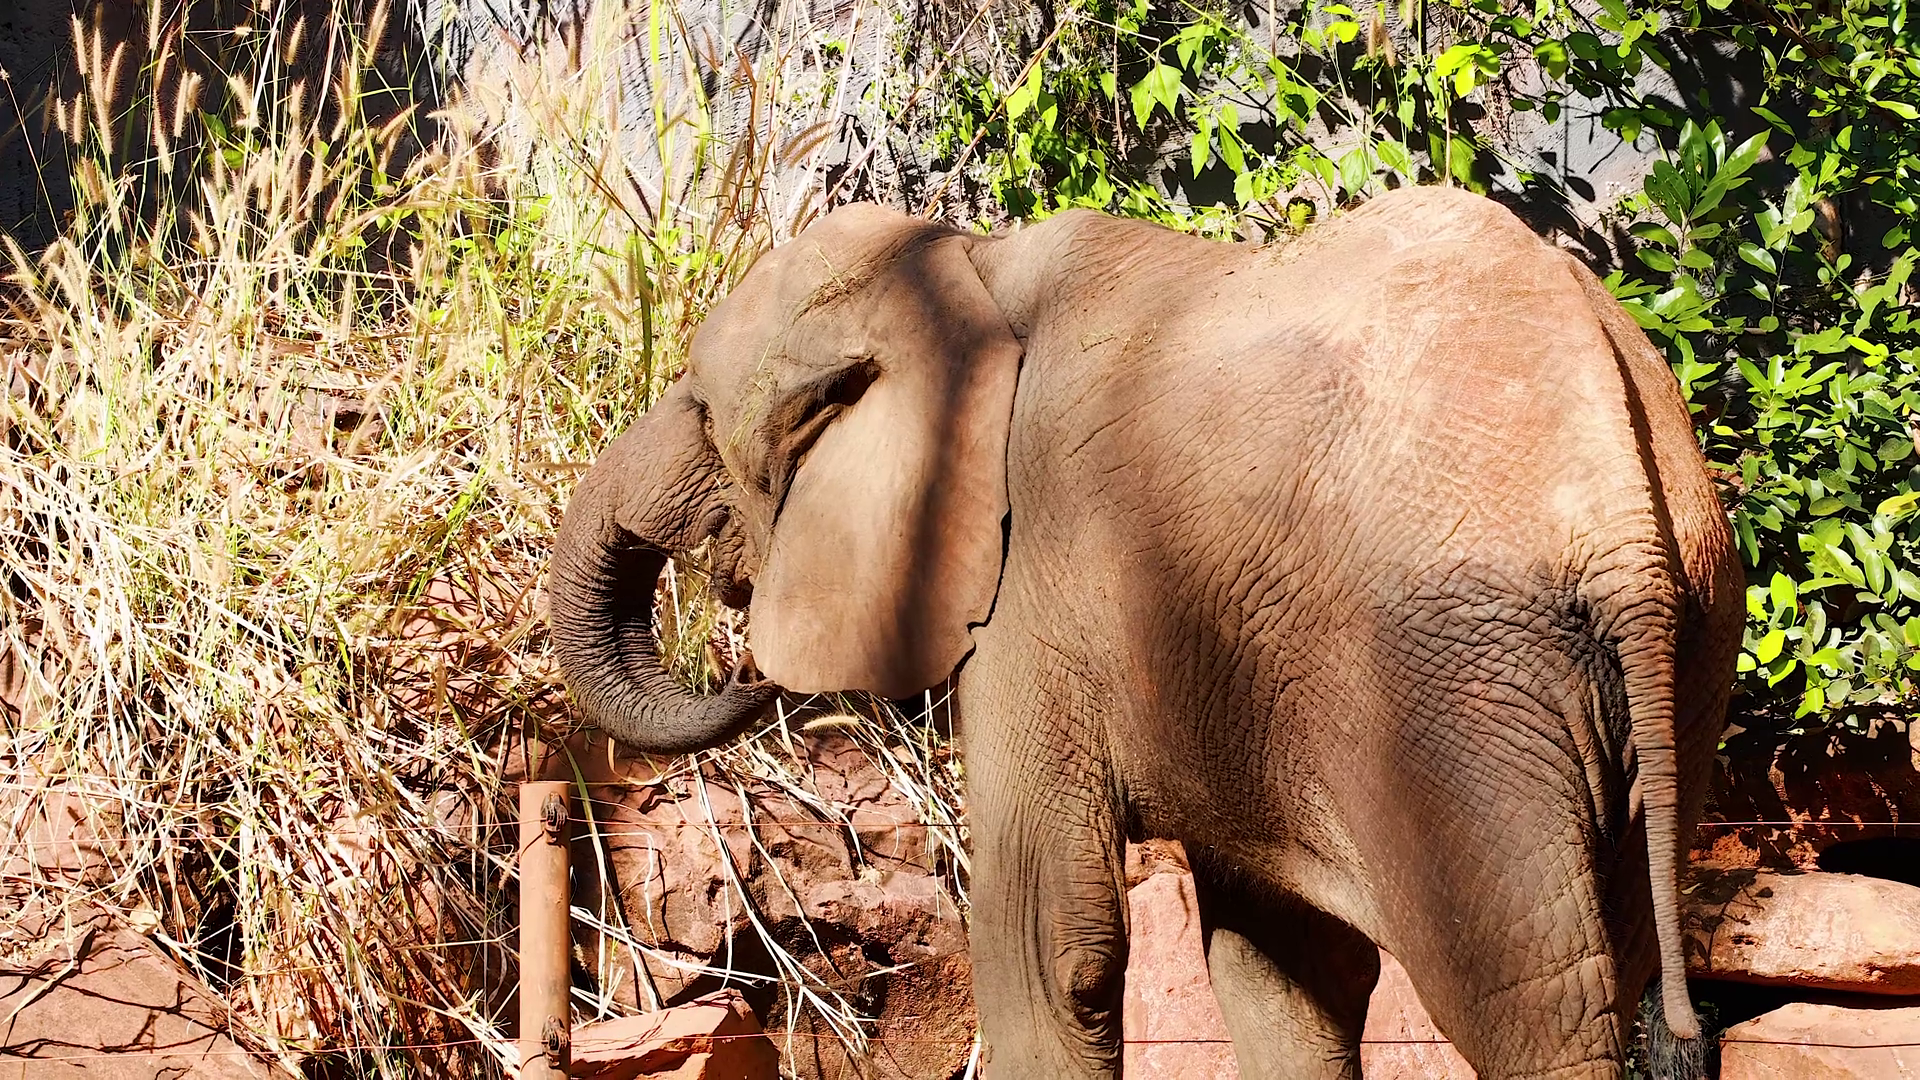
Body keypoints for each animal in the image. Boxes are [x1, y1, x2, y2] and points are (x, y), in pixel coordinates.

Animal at [547, 185, 1742, 1079]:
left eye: (702, 413)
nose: (745, 682)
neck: (961, 265)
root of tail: (1624, 521)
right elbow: (1283, 964)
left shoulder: (1030, 585)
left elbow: (1047, 938)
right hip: (1682, 651)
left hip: (1457, 684)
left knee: (1532, 999)